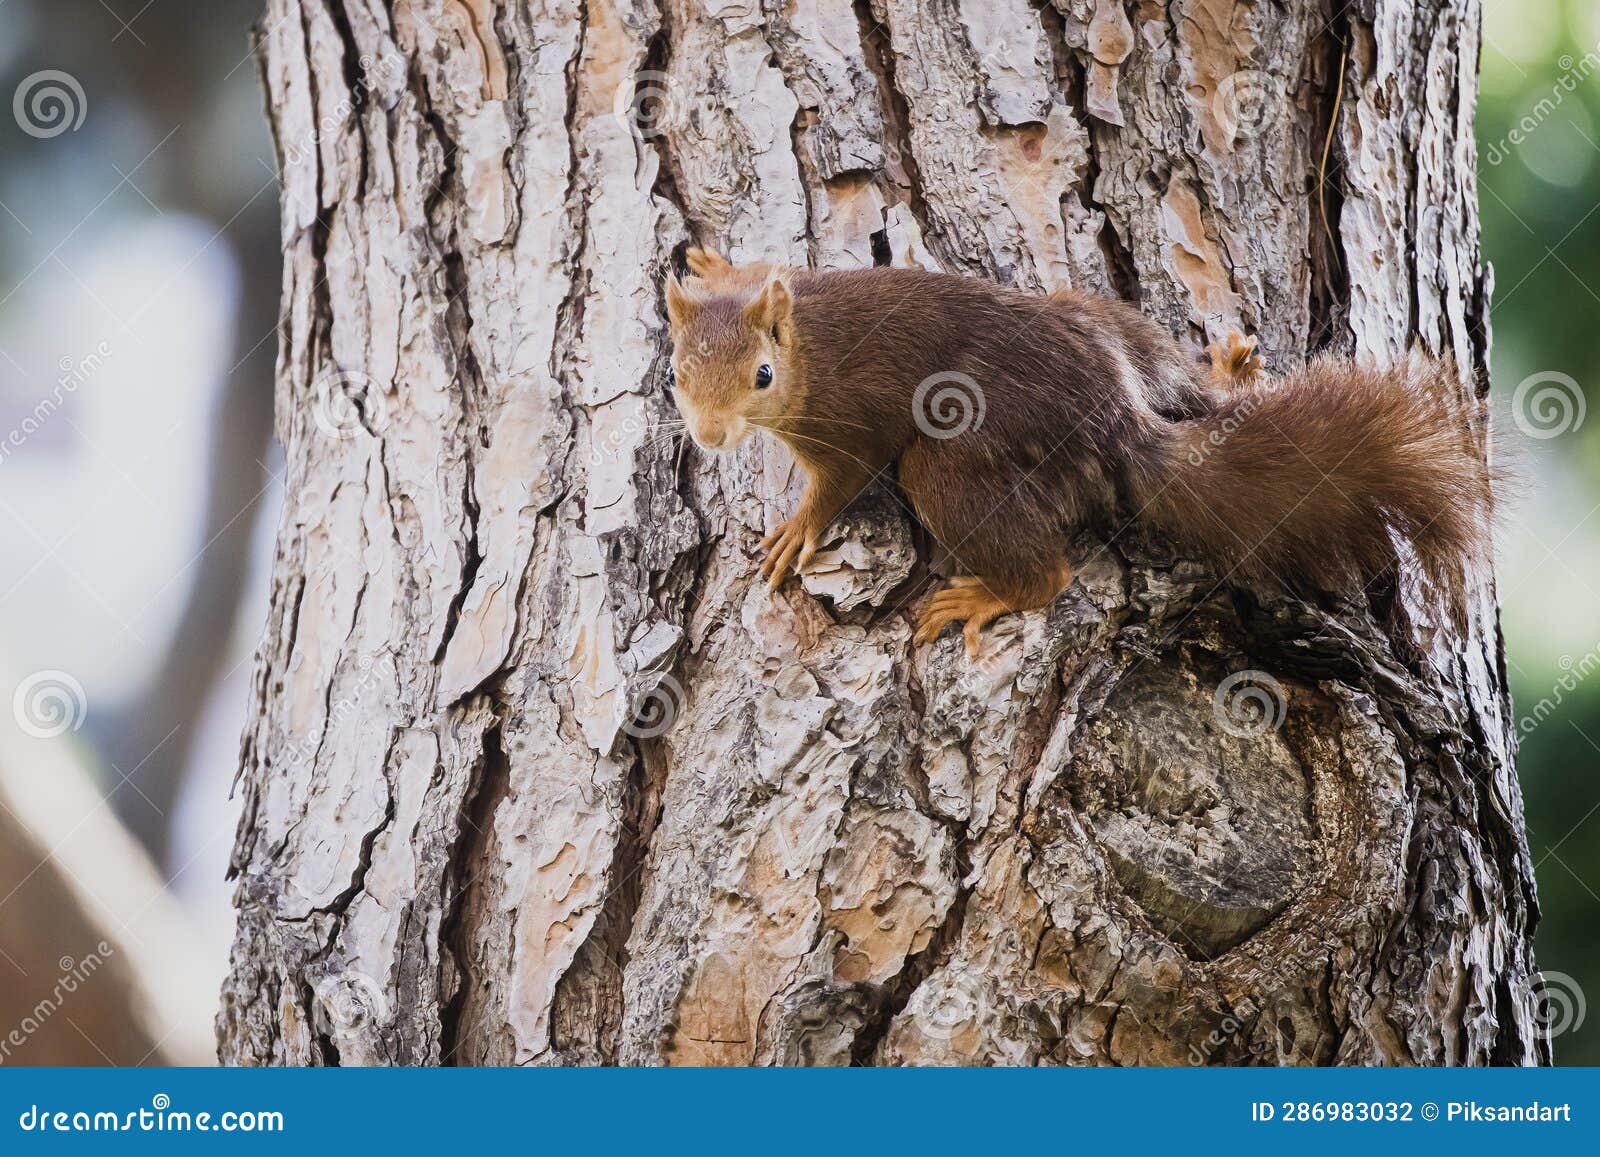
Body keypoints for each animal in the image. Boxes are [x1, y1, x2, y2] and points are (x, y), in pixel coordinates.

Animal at [662, 248, 1492, 657]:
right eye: (674, 371)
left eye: (761, 375)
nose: (708, 437)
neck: (805, 338)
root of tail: (1118, 421)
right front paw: (712, 264)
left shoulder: (844, 423)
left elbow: (840, 480)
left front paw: (797, 529)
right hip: (1110, 322)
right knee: (1190, 388)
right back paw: (1229, 373)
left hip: (953, 464)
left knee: (1045, 571)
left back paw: (986, 595)